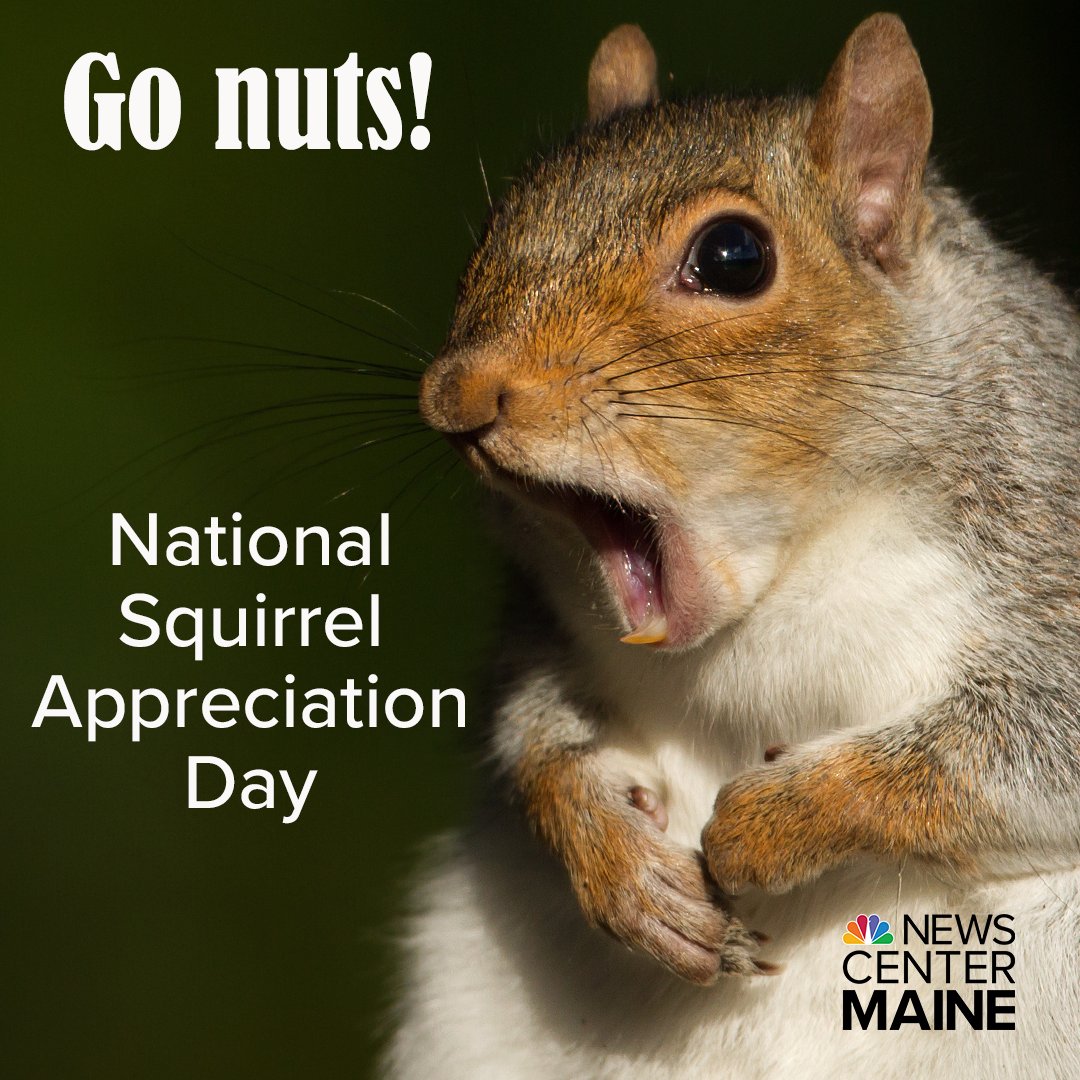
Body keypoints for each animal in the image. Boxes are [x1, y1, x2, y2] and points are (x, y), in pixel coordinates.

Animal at [387, 15, 1080, 1078]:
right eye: (498, 222)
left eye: (734, 256)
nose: (457, 394)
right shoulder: (543, 625)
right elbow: (536, 739)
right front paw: (621, 868)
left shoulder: (1048, 545)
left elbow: (1016, 753)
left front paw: (766, 827)